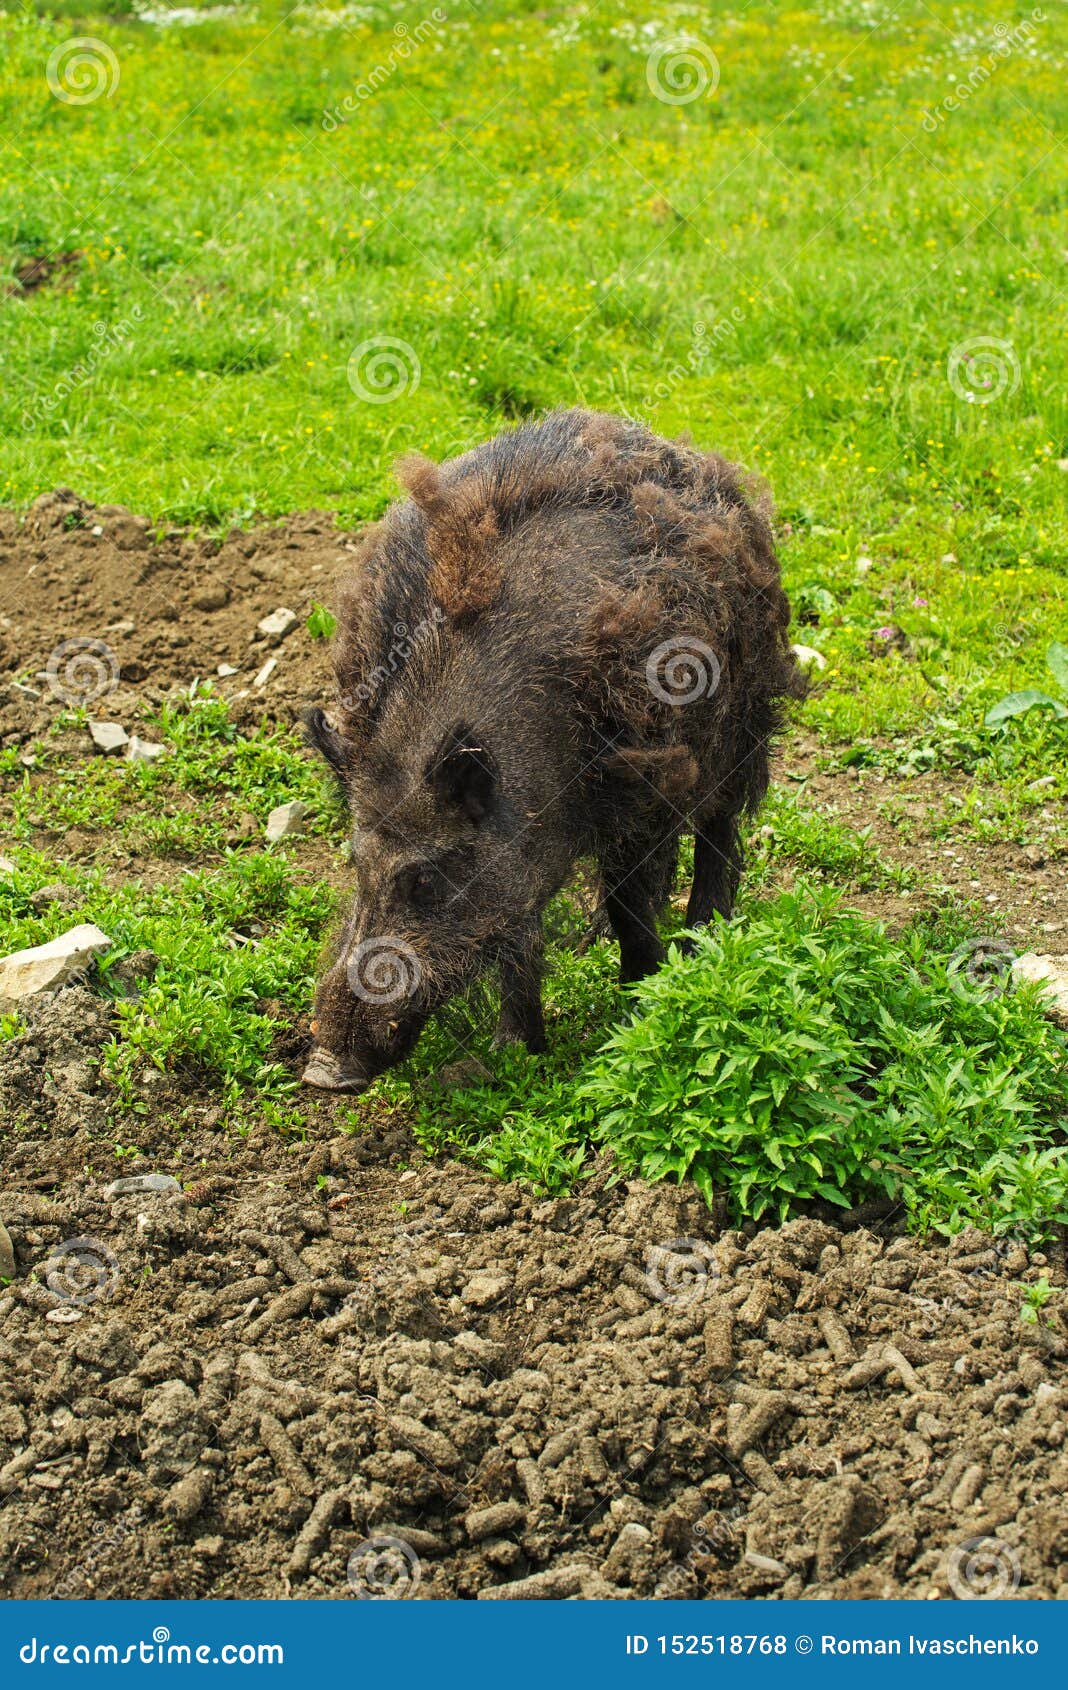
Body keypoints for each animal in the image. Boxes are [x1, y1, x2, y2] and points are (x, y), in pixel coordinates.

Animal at [302, 408, 805, 1093]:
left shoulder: (637, 793)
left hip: (743, 730)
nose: (322, 1071)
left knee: (720, 832)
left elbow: (626, 907)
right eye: (356, 865)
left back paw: (706, 940)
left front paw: (642, 1006)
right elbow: (520, 937)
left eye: (424, 879)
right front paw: (516, 1052)